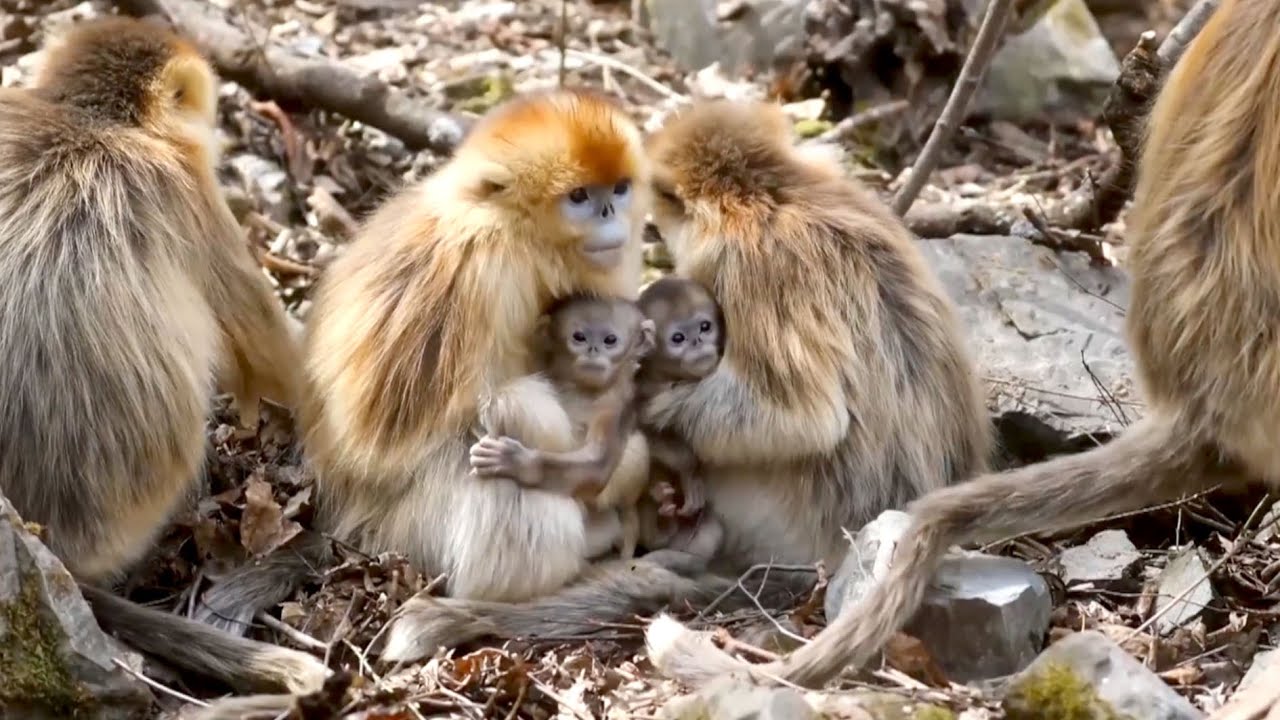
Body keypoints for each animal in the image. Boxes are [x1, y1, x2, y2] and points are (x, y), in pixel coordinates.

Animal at [470, 293, 658, 560]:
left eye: (610, 340)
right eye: (579, 337)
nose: (593, 350)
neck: (582, 390)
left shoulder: (615, 405)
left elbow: (597, 465)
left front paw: (518, 462)